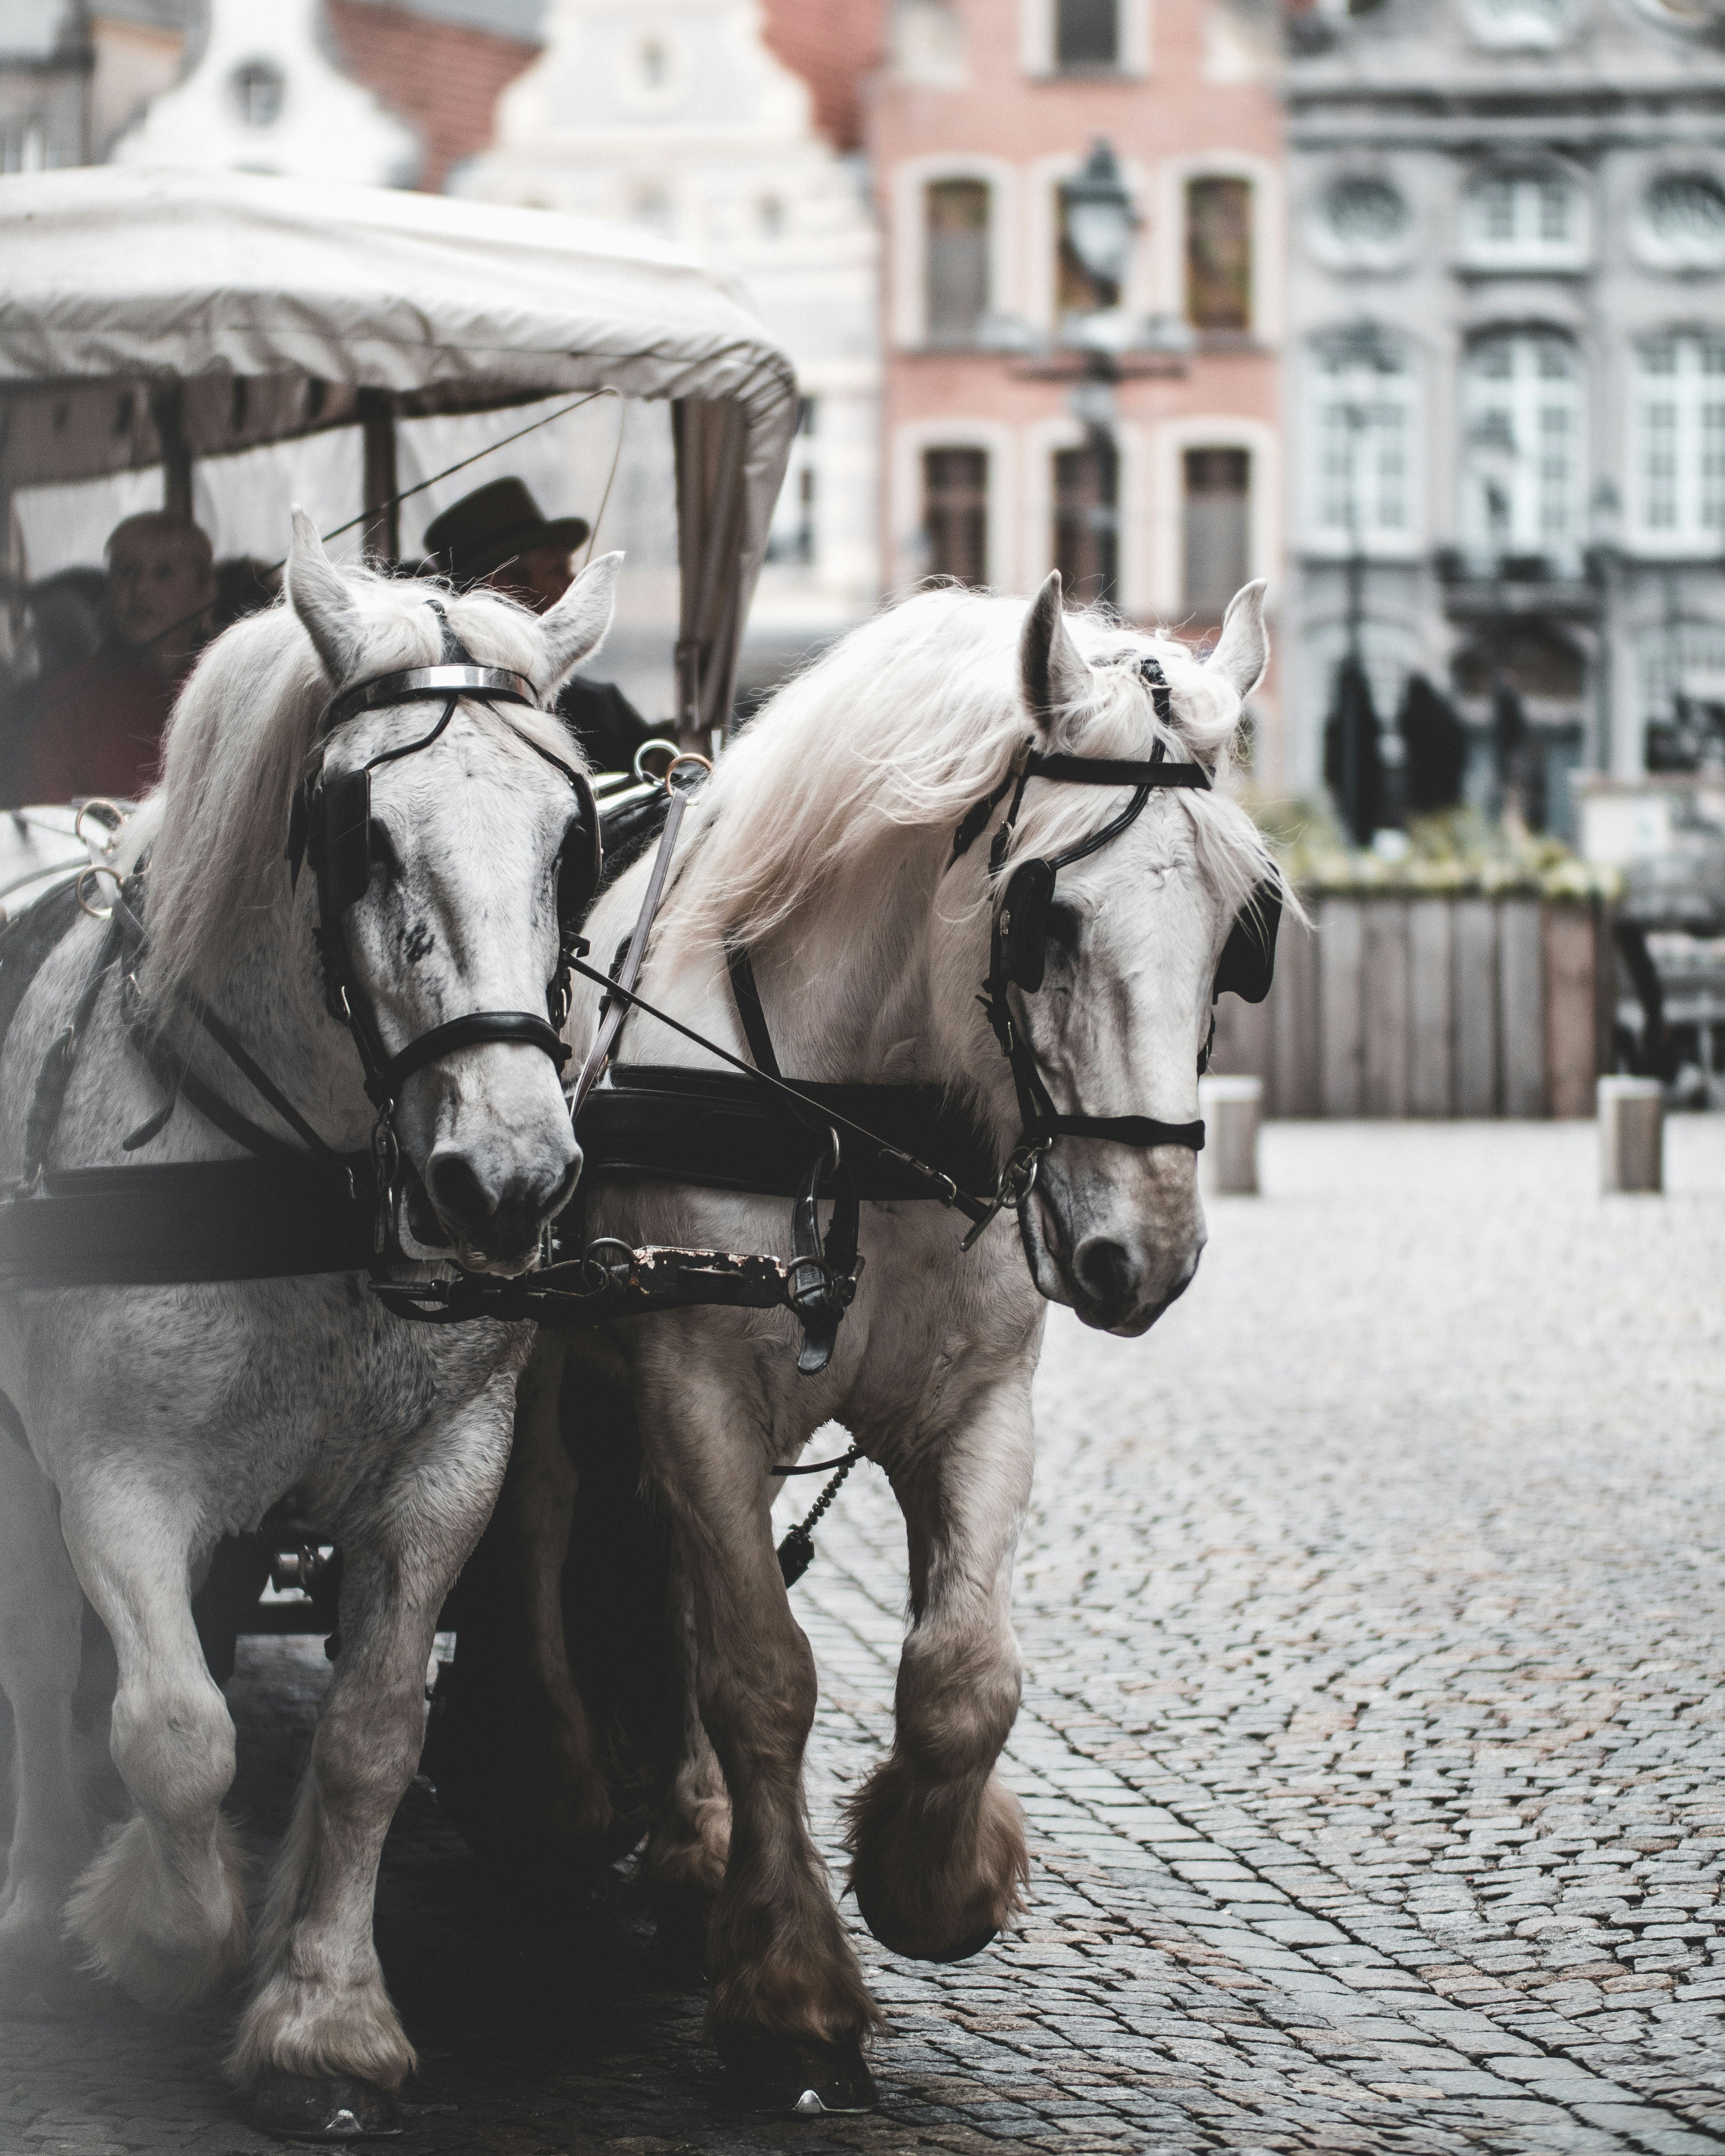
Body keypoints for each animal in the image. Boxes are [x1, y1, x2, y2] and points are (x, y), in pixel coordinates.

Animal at [0, 514, 619, 2141]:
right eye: (362, 835)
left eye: (576, 840)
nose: (507, 1177)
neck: (306, 1190)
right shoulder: (117, 1477)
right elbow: (173, 1726)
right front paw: (162, 1924)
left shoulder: (446, 1469)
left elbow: (372, 1735)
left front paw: (325, 2012)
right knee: (38, 1647)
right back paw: (38, 1896)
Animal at [458, 570, 1282, 2113]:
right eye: (1040, 914)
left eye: (1239, 922)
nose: (1141, 1252)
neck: (851, 1114)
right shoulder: (697, 1386)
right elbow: (763, 1671)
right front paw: (789, 1991)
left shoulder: (975, 1404)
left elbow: (962, 1672)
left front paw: (932, 1878)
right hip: (546, 1338)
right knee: (537, 1522)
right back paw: (563, 1784)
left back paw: (692, 1843)